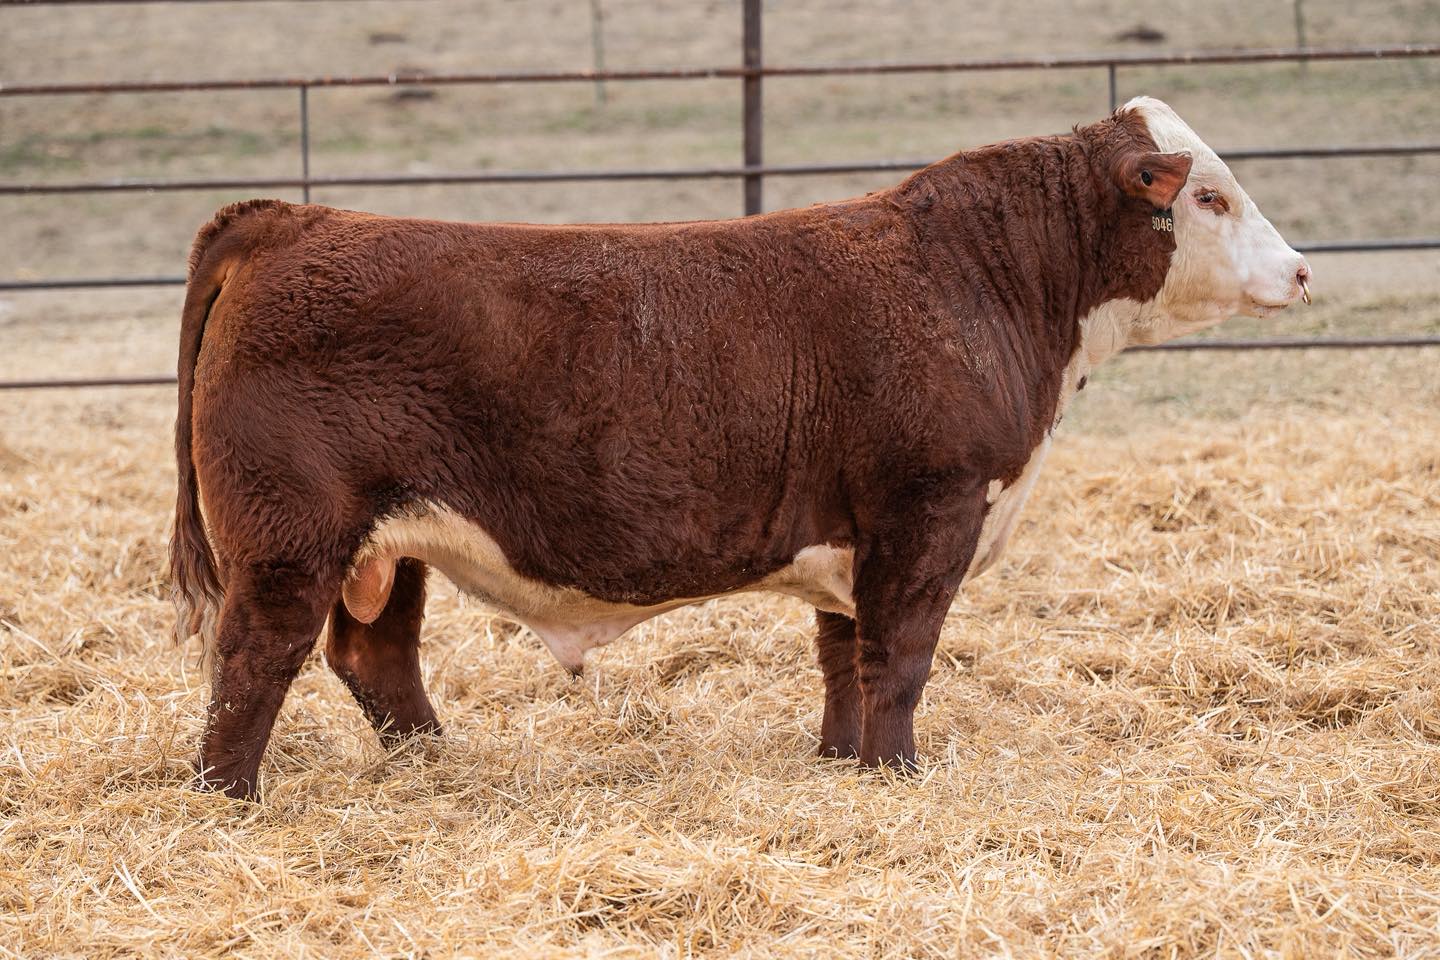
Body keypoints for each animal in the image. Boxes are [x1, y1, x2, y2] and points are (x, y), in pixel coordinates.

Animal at [171, 96, 1310, 800]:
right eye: (1208, 195)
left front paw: (845, 765)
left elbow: (845, 659)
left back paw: (435, 764)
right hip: (289, 533)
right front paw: (900, 775)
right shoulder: (927, 513)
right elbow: (901, 658)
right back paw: (230, 796)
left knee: (374, 655)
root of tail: (290, 221)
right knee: (255, 655)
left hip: (386, 540)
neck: (982, 282)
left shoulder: (854, 536)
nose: (1301, 269)